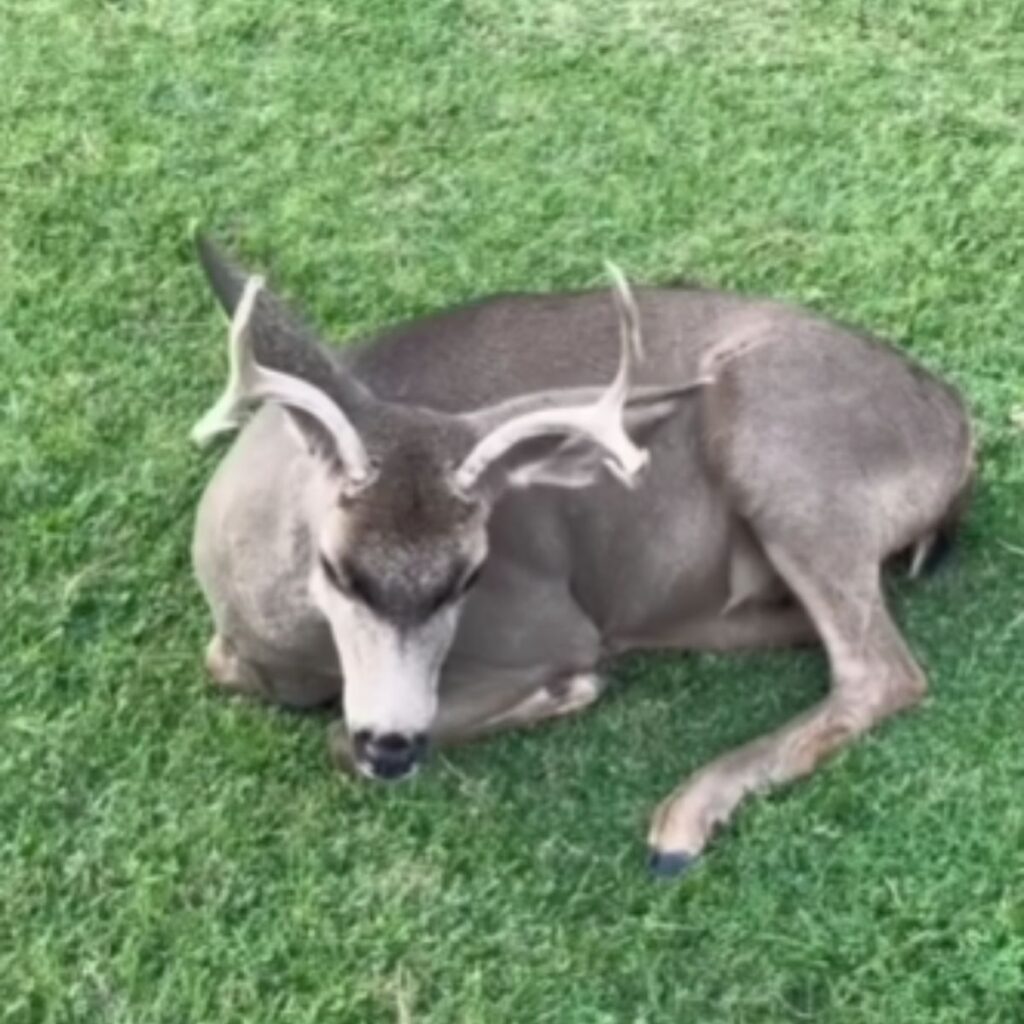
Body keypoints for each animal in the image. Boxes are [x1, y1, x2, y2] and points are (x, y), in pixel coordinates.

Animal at [189, 234, 974, 877]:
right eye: (335, 566)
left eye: (471, 575)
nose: (393, 743)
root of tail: (962, 435)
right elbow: (223, 665)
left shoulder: (544, 625)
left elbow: (333, 736)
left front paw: (563, 693)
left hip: (782, 448)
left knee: (884, 670)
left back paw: (681, 824)